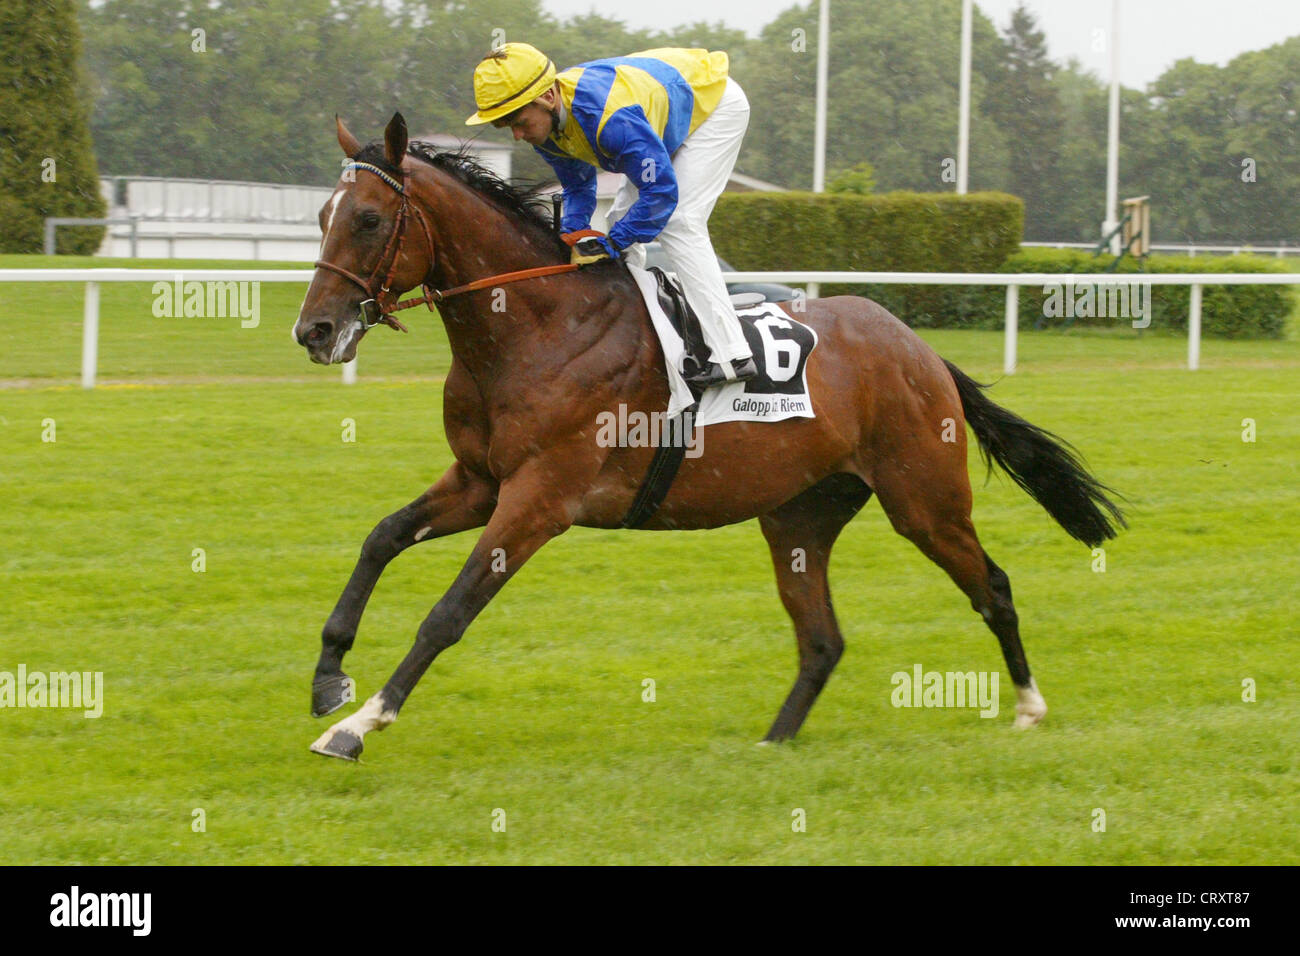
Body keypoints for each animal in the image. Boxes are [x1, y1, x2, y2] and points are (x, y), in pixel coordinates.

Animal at [292, 112, 1125, 761]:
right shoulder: (479, 480)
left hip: (924, 500)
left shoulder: (538, 499)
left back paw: (1028, 705)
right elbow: (380, 537)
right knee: (823, 639)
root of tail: (919, 351)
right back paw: (772, 744)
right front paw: (330, 678)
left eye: (368, 219)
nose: (314, 331)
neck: (539, 329)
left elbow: (449, 612)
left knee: (993, 587)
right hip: (798, 516)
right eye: (322, 218)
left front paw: (359, 725)